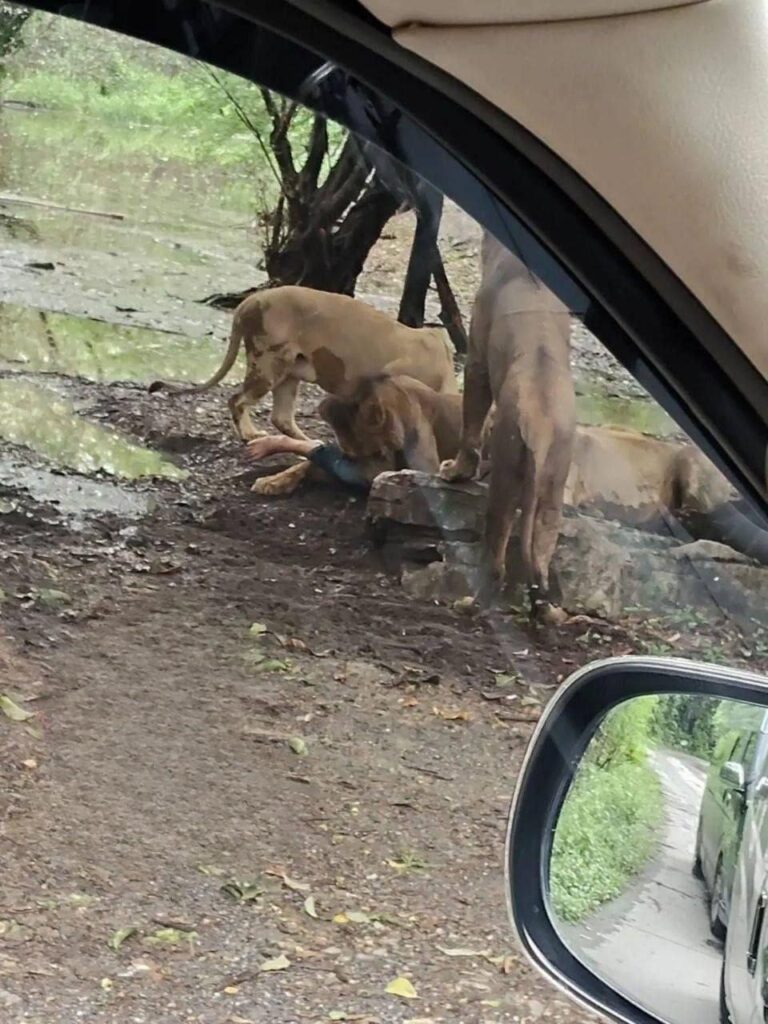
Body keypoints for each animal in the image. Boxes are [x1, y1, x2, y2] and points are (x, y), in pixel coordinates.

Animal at [149, 285, 457, 442]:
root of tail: (248, 302)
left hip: (290, 371)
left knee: (281, 417)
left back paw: (308, 443)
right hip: (268, 360)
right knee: (237, 400)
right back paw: (251, 434)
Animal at [440, 231, 575, 622]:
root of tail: (542, 430)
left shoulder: (477, 359)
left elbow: (471, 422)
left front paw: (456, 471)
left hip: (508, 471)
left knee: (497, 555)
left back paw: (471, 603)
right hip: (552, 489)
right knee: (540, 559)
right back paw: (547, 613)